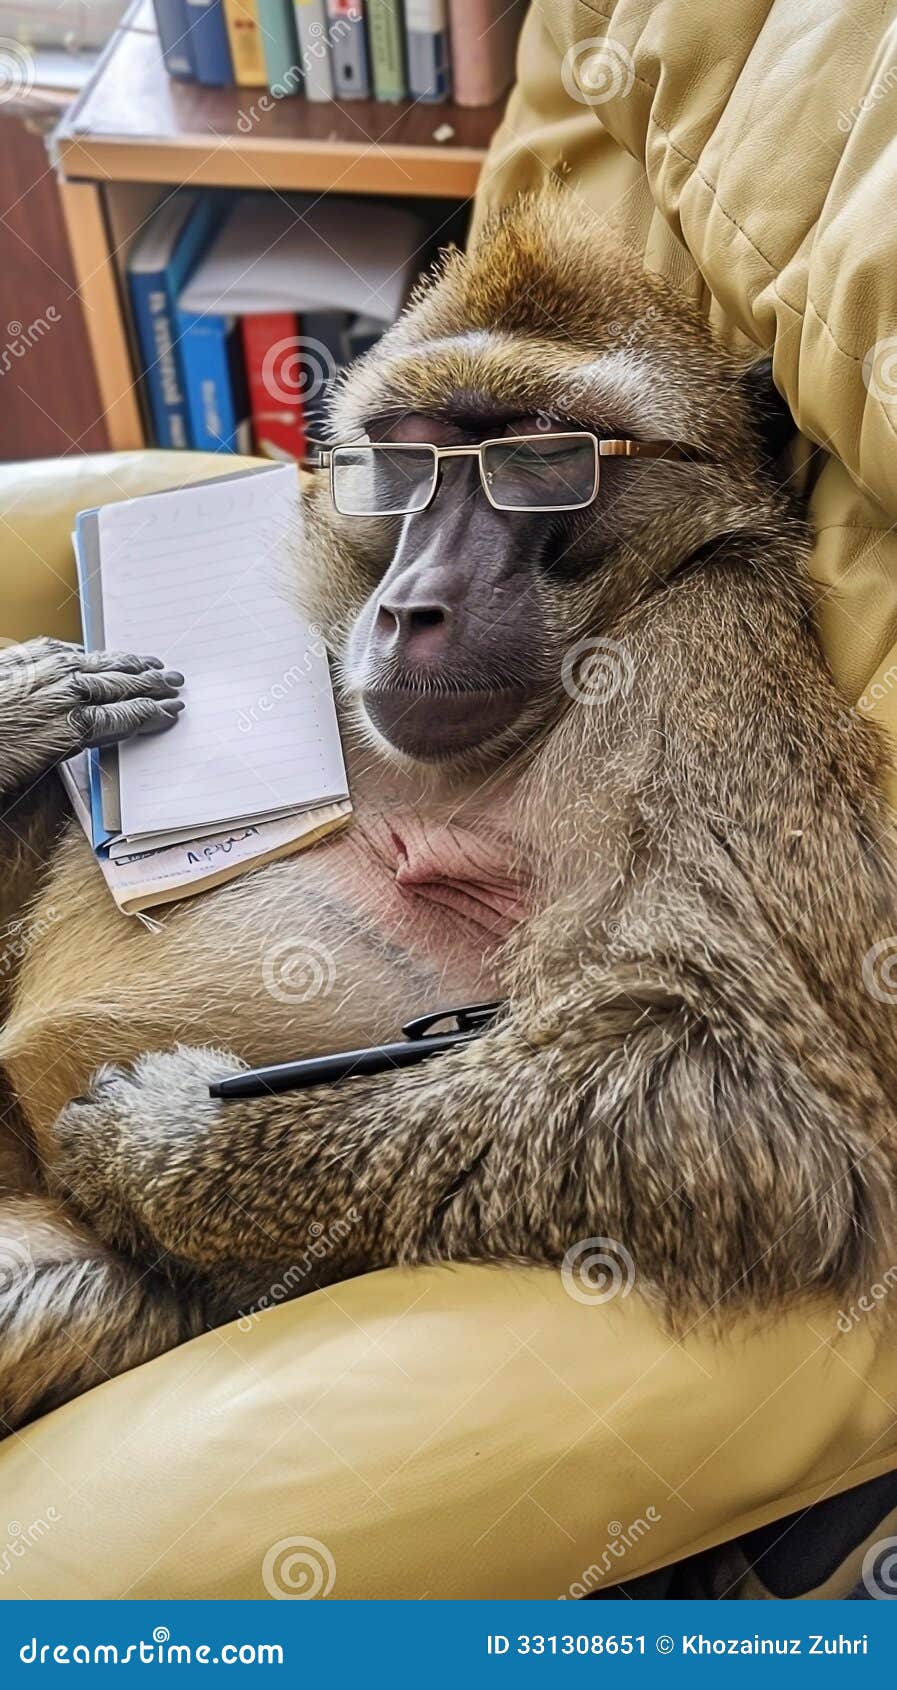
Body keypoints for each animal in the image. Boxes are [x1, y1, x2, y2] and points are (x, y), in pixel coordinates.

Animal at [1, 187, 897, 1438]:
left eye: (542, 458)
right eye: (408, 457)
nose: (413, 604)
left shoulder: (713, 649)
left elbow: (753, 1101)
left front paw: (166, 1146)